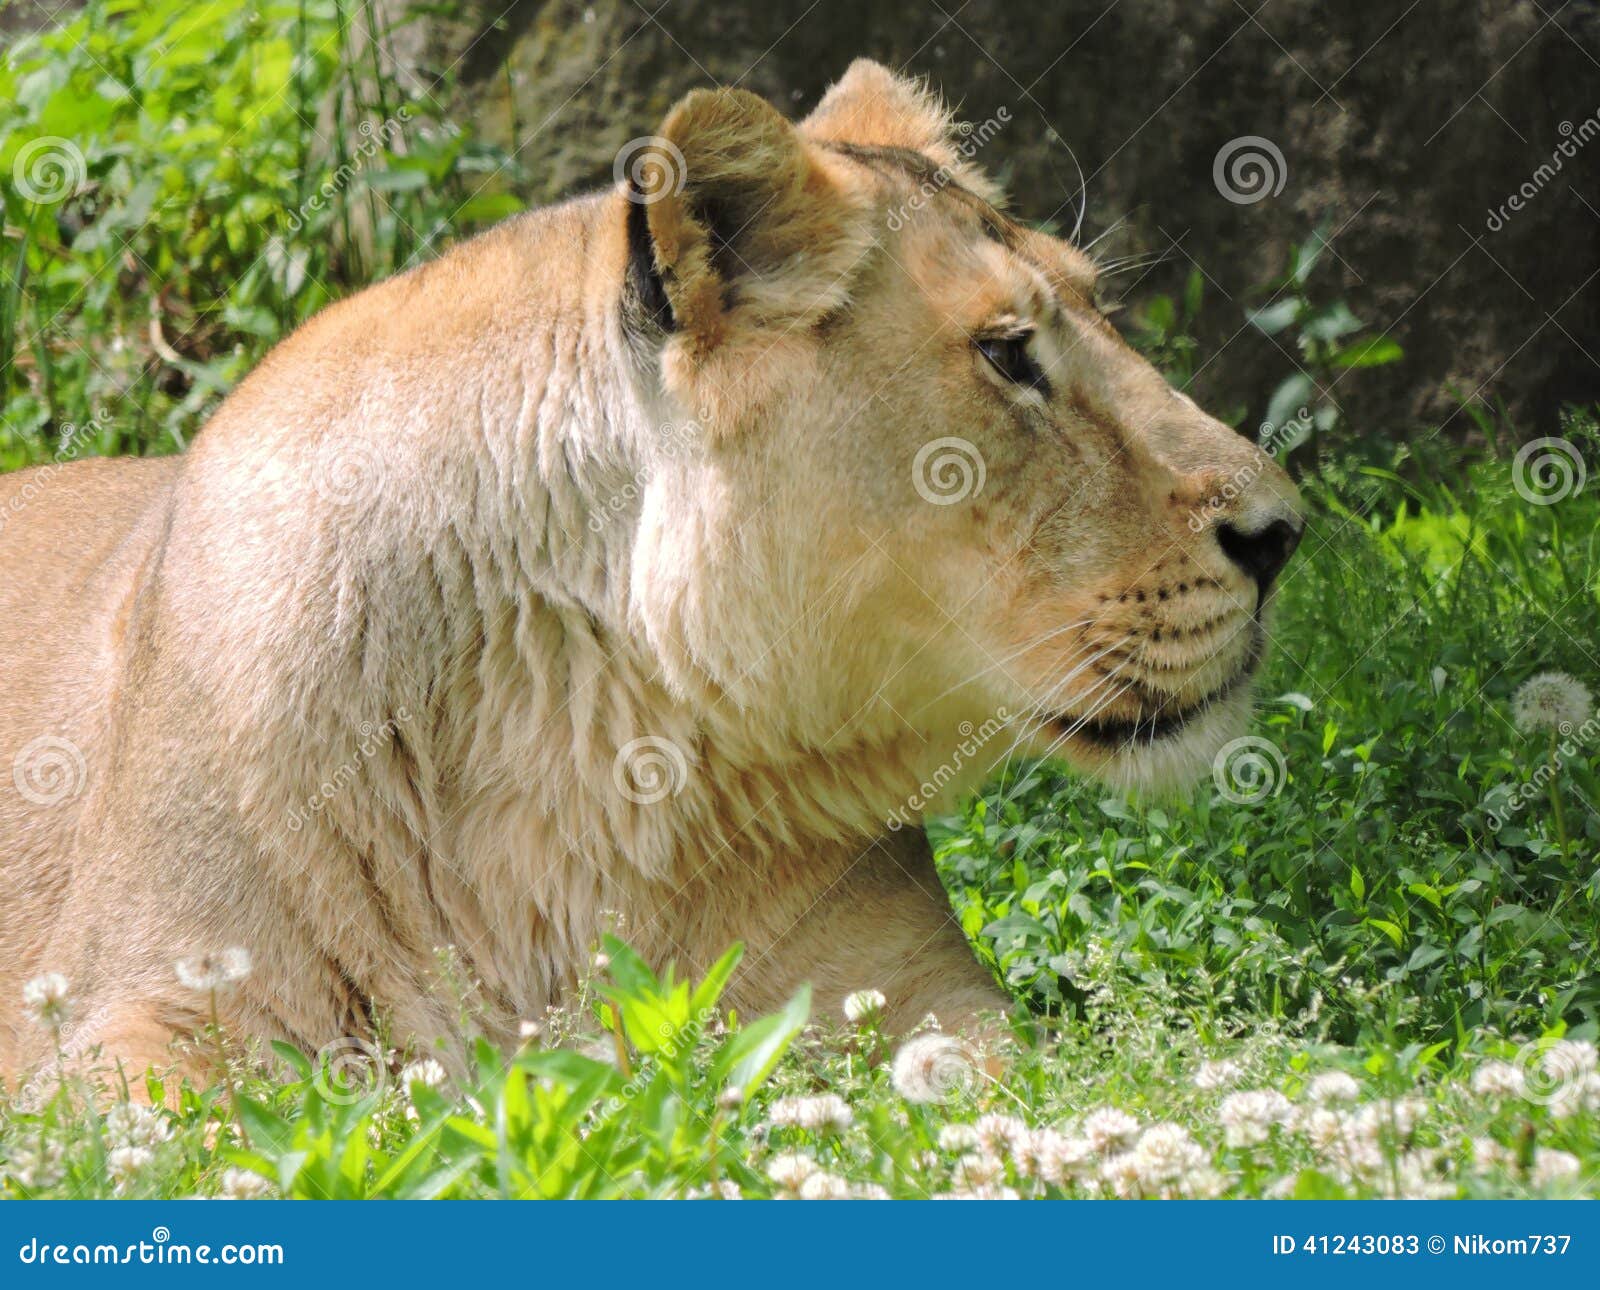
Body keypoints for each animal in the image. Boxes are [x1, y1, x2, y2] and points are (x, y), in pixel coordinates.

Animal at [0, 60, 1300, 1084]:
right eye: (1007, 354)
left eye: (1100, 310)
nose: (1282, 532)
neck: (581, 736)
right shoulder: (142, 1010)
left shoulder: (918, 987)